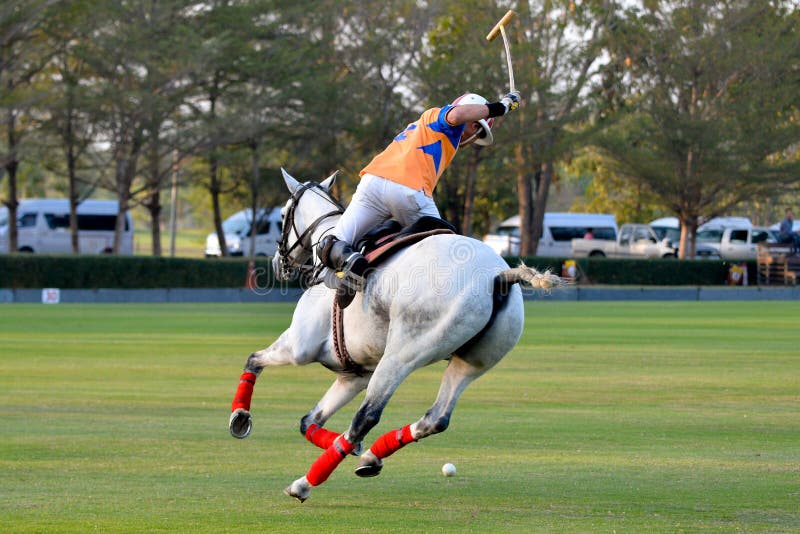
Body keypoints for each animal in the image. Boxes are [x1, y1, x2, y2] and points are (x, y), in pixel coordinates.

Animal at [228, 169, 566, 502]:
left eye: (284, 213)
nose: (277, 262)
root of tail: (498, 276)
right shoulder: (354, 375)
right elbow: (308, 421)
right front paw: (355, 450)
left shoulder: (300, 347)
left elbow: (254, 360)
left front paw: (240, 418)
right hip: (473, 362)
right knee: (436, 418)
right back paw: (370, 457)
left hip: (401, 355)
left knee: (366, 417)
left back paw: (305, 483)